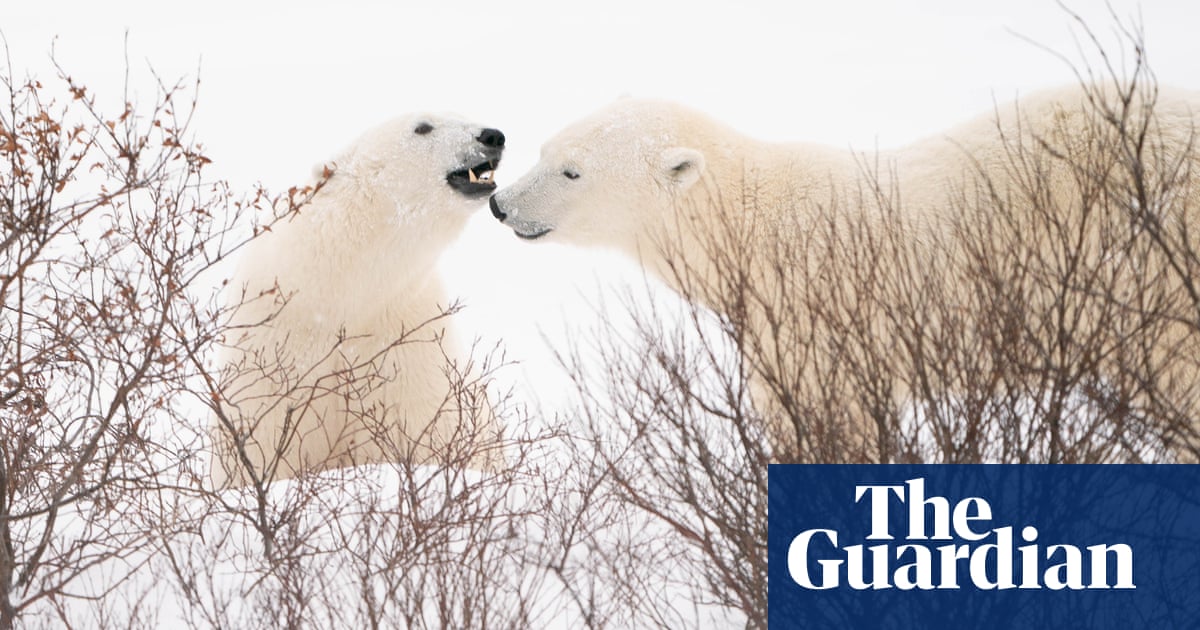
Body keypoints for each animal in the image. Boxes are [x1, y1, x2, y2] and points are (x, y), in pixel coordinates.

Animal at [487, 85, 1200, 458]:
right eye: (544, 150)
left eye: (571, 170)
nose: (501, 203)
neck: (750, 227)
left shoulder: (817, 322)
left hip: (1155, 262)